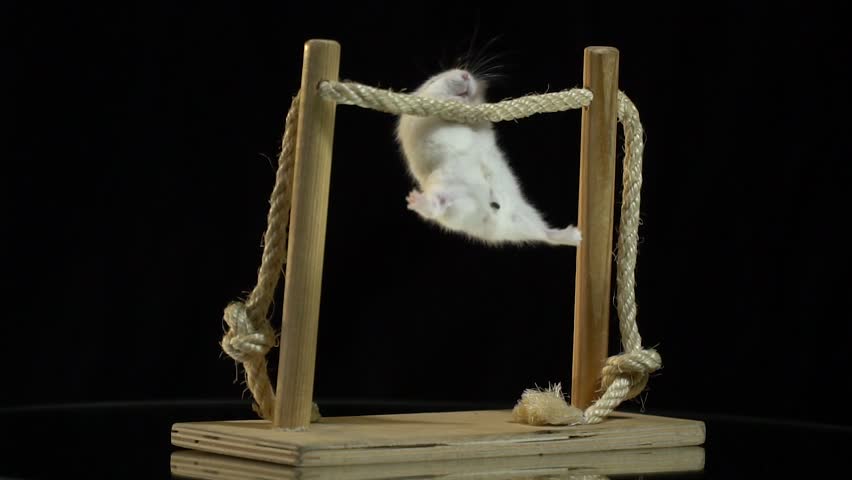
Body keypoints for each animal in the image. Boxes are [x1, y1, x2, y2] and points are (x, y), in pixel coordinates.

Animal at [395, 68, 581, 246]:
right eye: (433, 80)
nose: (465, 74)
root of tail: (496, 227)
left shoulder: (480, 124)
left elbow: (476, 109)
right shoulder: (419, 121)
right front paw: (458, 101)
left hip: (523, 215)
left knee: (544, 234)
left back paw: (575, 236)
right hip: (447, 193)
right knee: (437, 208)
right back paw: (417, 200)